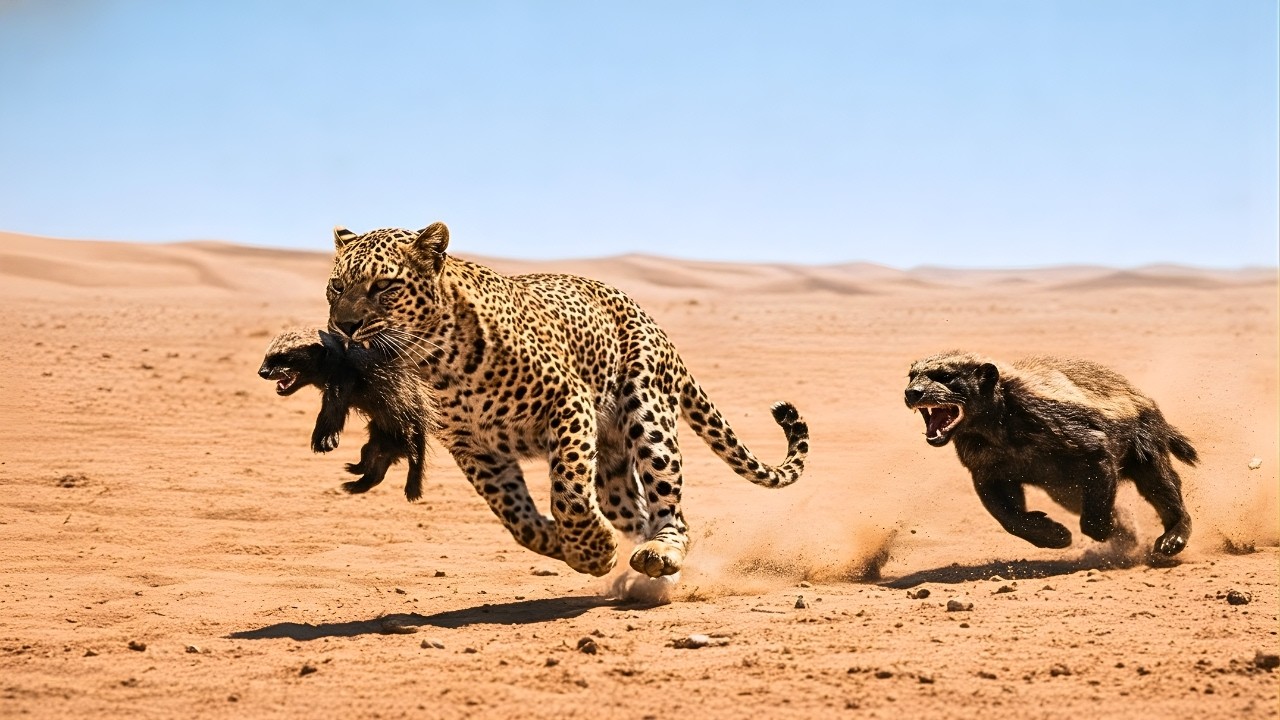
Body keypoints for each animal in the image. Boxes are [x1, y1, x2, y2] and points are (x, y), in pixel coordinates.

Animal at [258, 327, 438, 501]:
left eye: (284, 357)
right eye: (267, 357)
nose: (262, 372)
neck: (337, 356)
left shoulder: (344, 377)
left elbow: (333, 407)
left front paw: (325, 440)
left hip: (402, 426)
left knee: (408, 453)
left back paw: (409, 487)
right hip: (382, 432)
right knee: (374, 457)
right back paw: (355, 479)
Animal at [324, 221, 809, 578]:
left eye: (383, 286)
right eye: (336, 287)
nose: (343, 326)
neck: (434, 362)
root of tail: (653, 323)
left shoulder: (567, 402)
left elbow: (569, 494)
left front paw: (591, 547)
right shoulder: (474, 448)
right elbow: (516, 518)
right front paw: (573, 547)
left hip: (648, 415)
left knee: (671, 510)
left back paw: (661, 553)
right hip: (612, 468)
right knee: (634, 512)